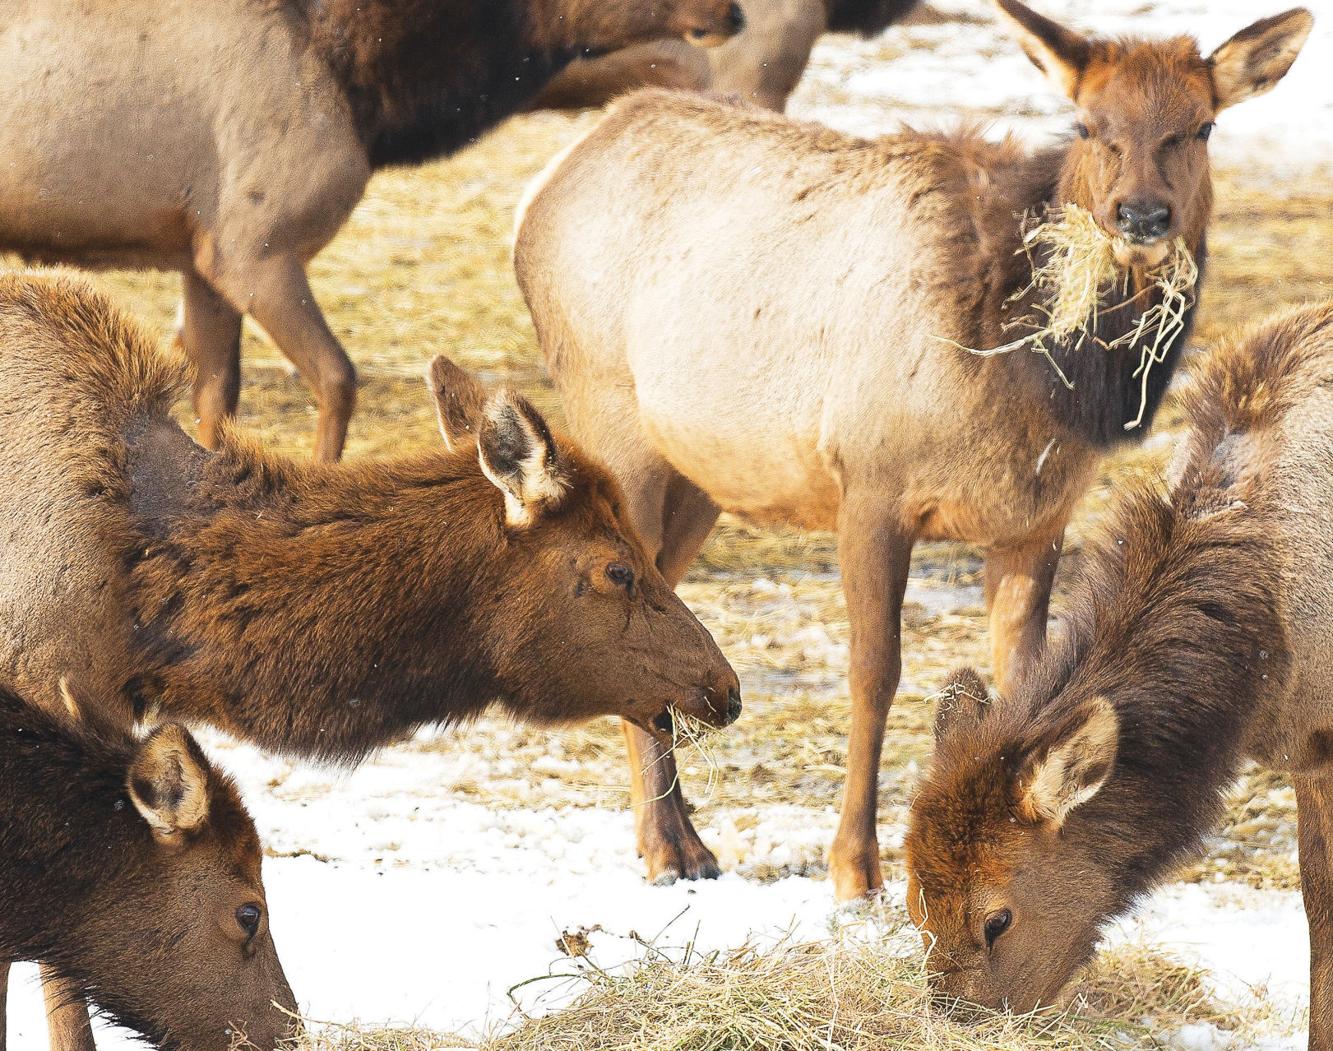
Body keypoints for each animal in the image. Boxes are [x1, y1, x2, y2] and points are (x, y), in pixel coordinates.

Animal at [0, 0, 744, 464]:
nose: (733, 11)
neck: (370, 89)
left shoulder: (201, 256)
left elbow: (215, 400)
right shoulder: (254, 246)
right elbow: (337, 378)